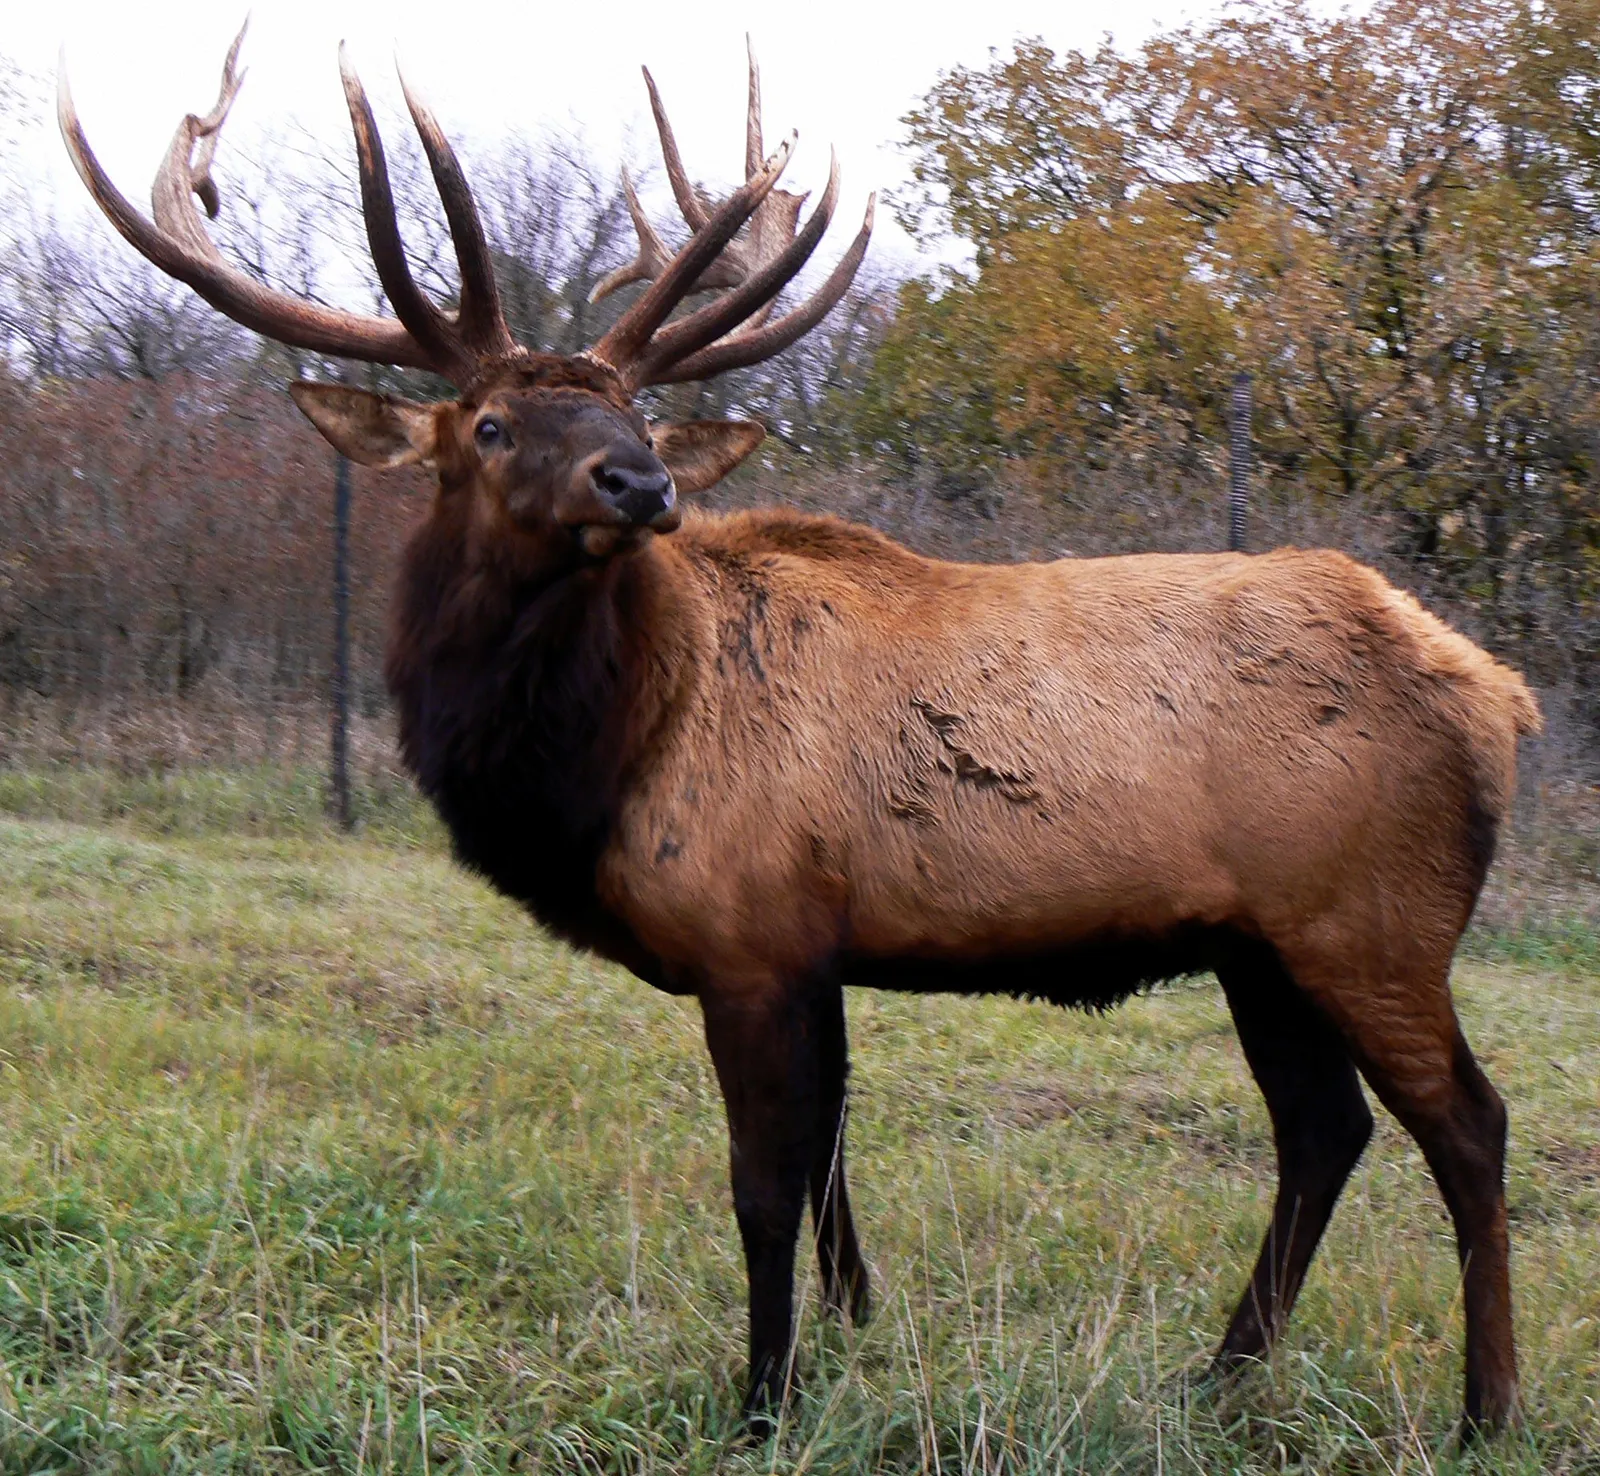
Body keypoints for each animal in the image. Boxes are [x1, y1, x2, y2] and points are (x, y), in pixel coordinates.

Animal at [61, 25, 1541, 1438]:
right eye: (487, 423)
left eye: (632, 411)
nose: (640, 482)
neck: (609, 757)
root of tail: (1500, 697)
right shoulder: (816, 944)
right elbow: (834, 1160)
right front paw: (856, 1324)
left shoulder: (752, 936)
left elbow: (765, 1186)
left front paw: (762, 1397)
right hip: (1260, 947)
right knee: (1323, 1132)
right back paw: (1217, 1375)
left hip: (1369, 921)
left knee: (1467, 1126)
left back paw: (1484, 1408)